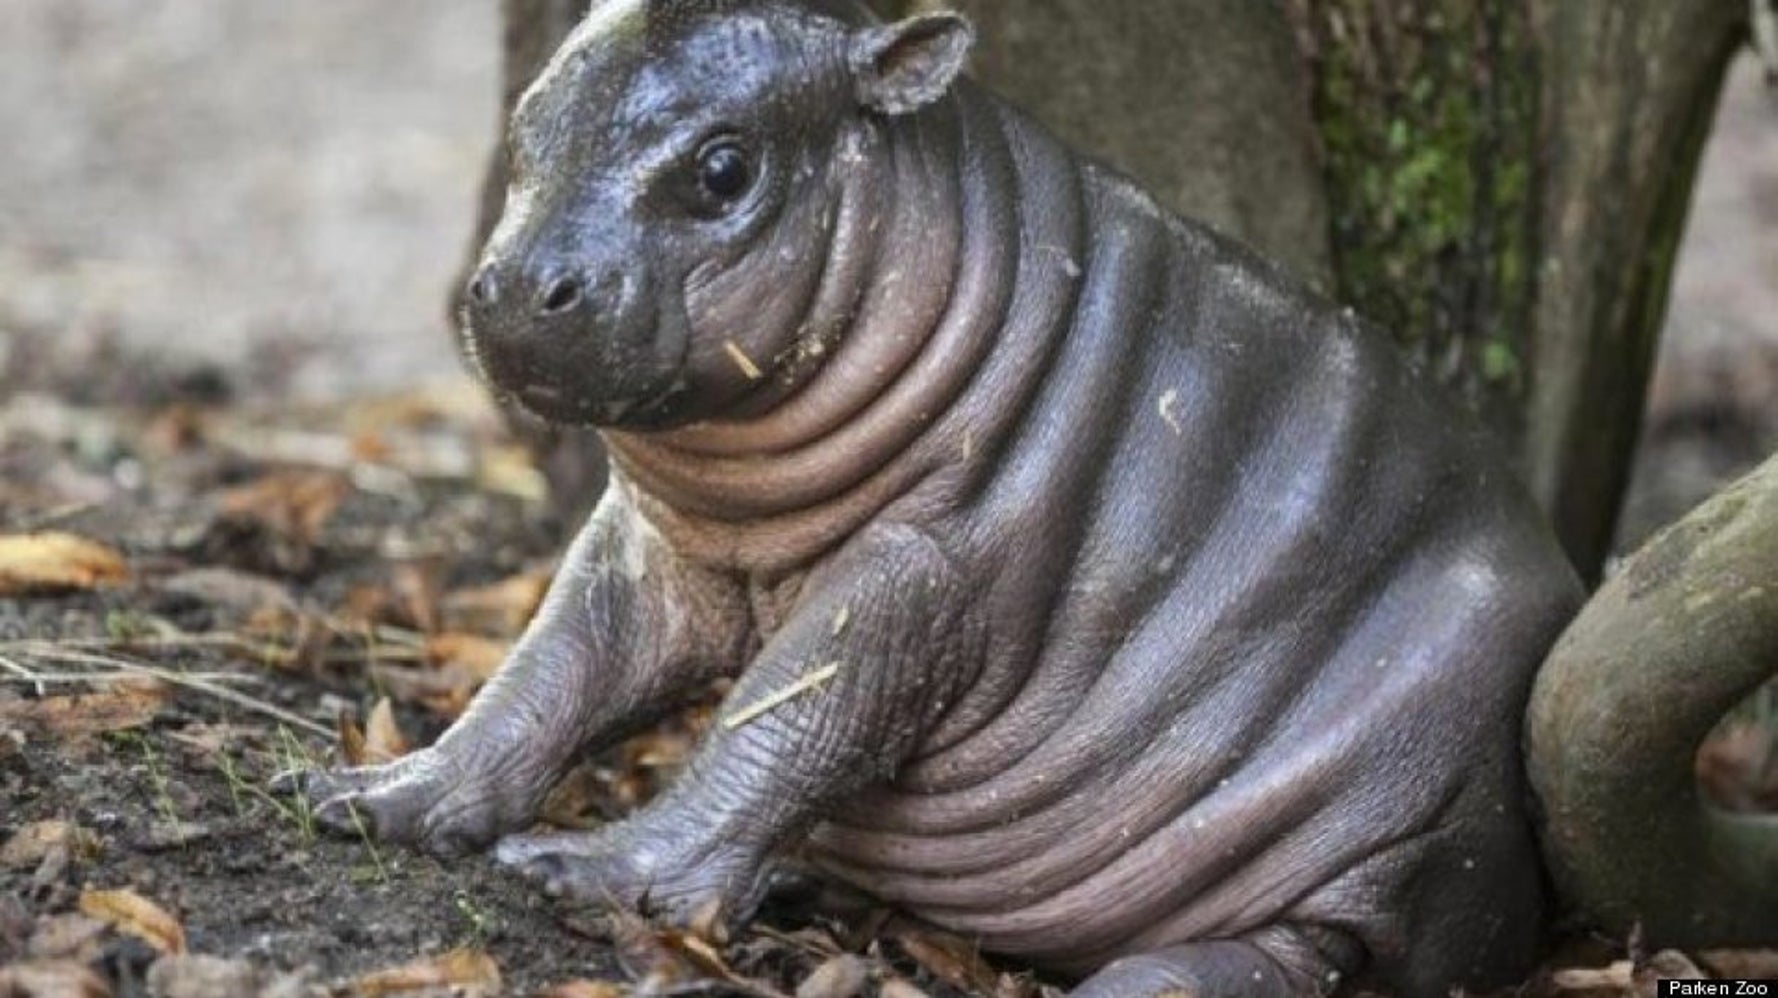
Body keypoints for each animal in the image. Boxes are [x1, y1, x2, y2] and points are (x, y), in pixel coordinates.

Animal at [286, 1, 1601, 993]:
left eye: (724, 167)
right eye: (523, 125)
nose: (516, 287)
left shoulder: (925, 571)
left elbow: (787, 715)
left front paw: (579, 869)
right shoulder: (650, 544)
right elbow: (550, 668)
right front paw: (365, 794)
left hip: (1405, 834)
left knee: (1302, 954)